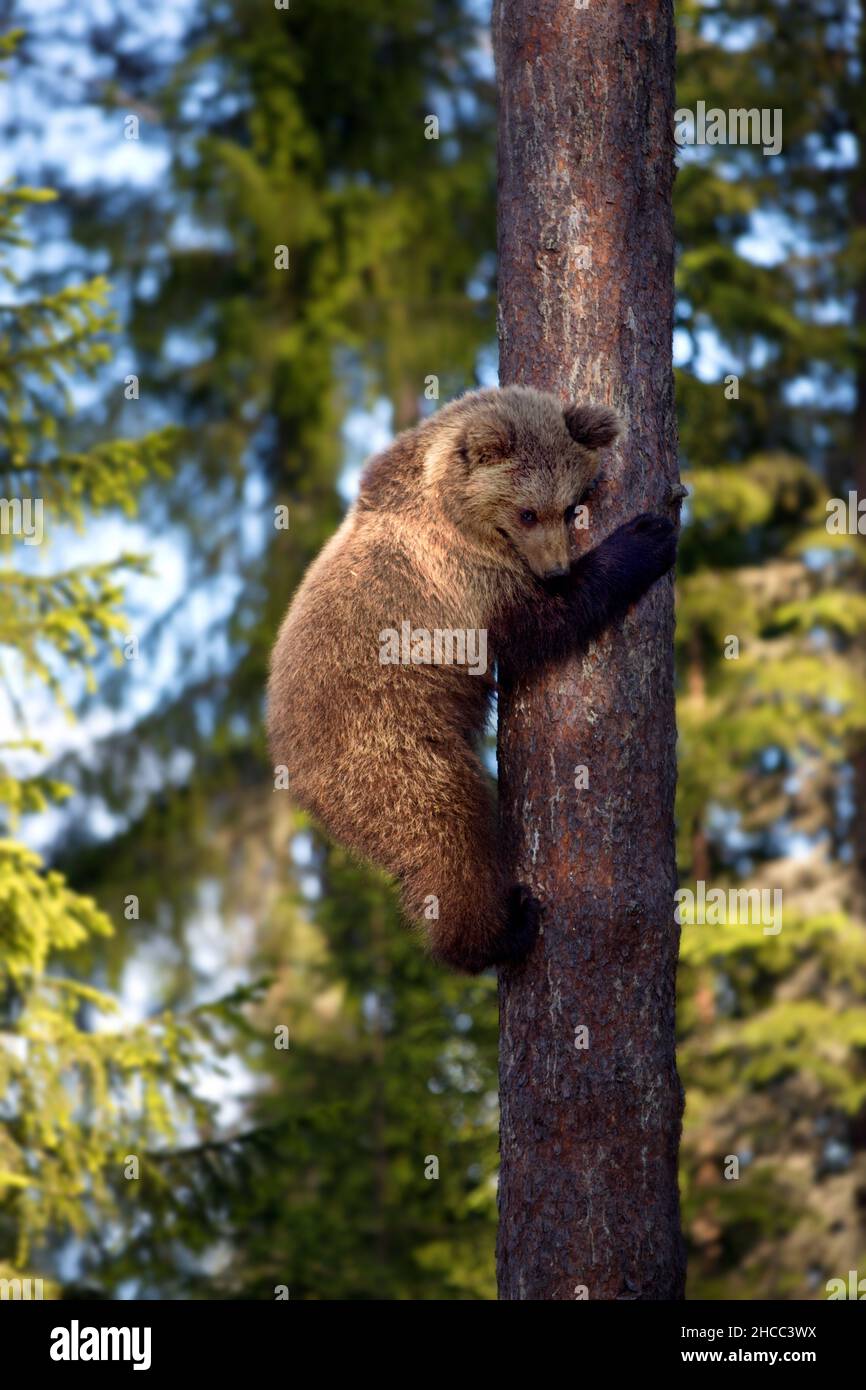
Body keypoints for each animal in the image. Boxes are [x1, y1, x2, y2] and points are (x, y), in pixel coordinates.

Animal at [267, 385, 677, 973]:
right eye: (527, 512)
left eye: (570, 506)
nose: (555, 570)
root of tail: (291, 768)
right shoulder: (461, 581)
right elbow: (544, 625)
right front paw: (646, 538)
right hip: (385, 746)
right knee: (447, 832)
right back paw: (499, 930)